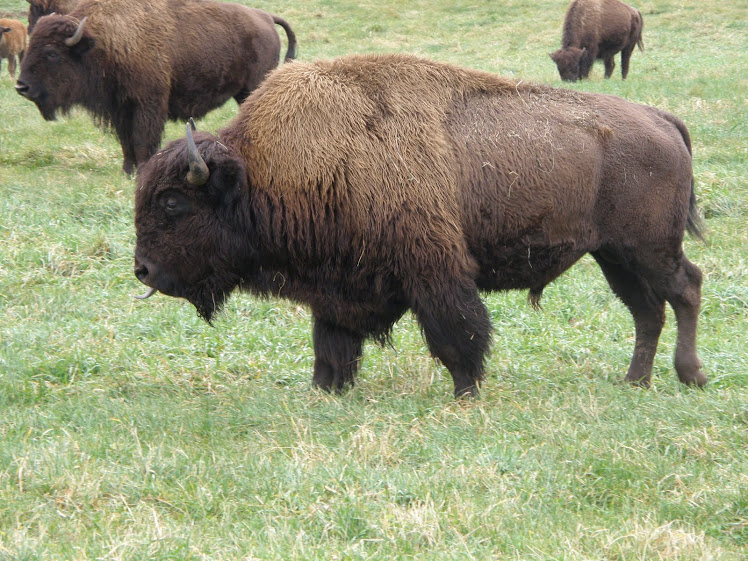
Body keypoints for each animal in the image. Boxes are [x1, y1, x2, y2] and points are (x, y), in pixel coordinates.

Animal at [15, 0, 297, 174]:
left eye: (51, 53)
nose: (21, 86)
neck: (101, 40)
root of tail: (265, 17)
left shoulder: (147, 104)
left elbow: (142, 138)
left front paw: (142, 167)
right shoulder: (120, 108)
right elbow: (126, 141)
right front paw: (127, 171)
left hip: (252, 88)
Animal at [133, 54, 706, 397]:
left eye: (172, 203)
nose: (142, 270)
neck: (266, 168)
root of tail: (661, 118)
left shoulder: (434, 270)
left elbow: (458, 334)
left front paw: (467, 392)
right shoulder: (336, 286)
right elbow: (331, 344)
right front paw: (326, 389)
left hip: (647, 249)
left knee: (685, 290)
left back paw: (690, 376)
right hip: (613, 255)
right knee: (648, 310)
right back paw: (636, 381)